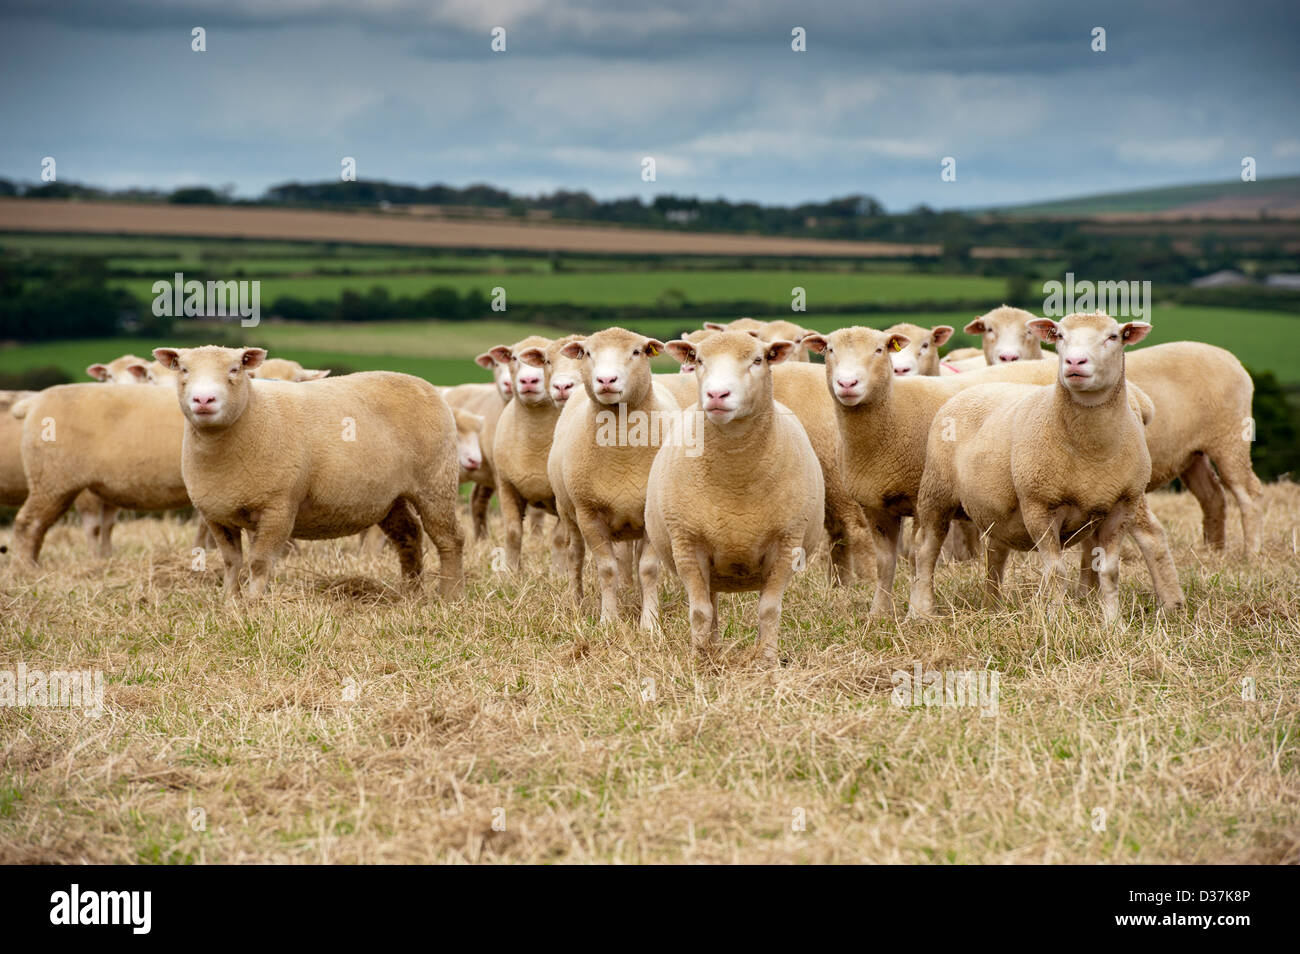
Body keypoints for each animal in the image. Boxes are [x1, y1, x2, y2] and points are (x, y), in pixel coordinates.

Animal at [152, 346, 463, 598]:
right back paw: (411, 592)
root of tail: (423, 384)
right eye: (183, 369)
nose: (204, 400)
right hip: (390, 497)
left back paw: (448, 595)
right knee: (409, 535)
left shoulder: (278, 507)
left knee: (450, 539)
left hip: (436, 481)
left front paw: (253, 605)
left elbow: (259, 562)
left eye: (235, 369)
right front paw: (229, 604)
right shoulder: (215, 514)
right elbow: (231, 562)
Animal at [548, 328, 678, 628]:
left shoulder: (651, 515)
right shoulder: (589, 514)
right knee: (575, 556)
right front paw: (608, 620)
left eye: (636, 352)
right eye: (588, 352)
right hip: (568, 512)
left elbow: (648, 569)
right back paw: (577, 602)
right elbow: (607, 570)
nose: (606, 380)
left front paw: (649, 622)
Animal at [648, 331, 824, 664]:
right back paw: (712, 651)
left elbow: (769, 610)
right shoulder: (687, 544)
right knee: (711, 607)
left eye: (757, 360)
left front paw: (767, 660)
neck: (735, 478)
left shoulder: (787, 544)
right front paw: (700, 661)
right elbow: (700, 613)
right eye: (699, 360)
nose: (717, 394)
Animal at [909, 313, 1185, 622]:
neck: (1091, 451)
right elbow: (1056, 572)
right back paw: (921, 611)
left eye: (1113, 337)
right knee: (925, 551)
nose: (1075, 362)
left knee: (995, 554)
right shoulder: (1039, 507)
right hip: (936, 494)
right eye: (1060, 335)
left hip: (995, 508)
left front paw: (1112, 623)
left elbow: (1110, 571)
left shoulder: (1121, 506)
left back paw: (992, 607)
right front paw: (1055, 620)